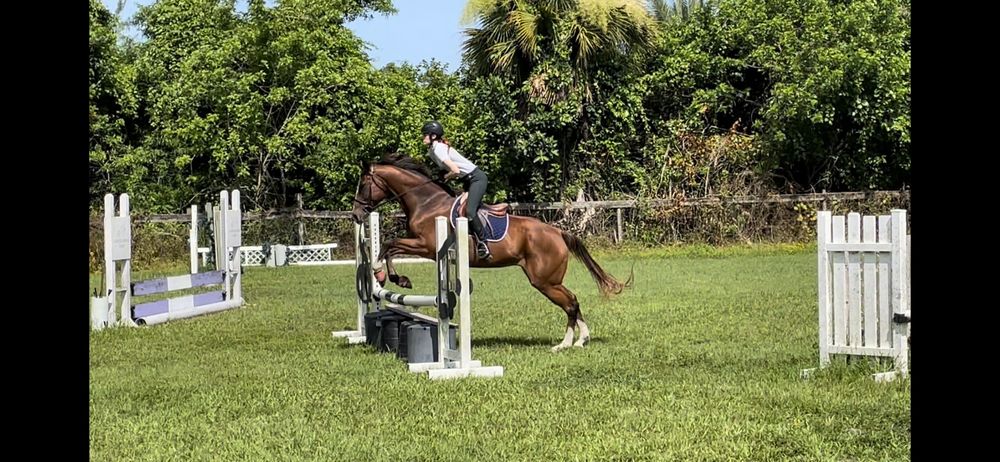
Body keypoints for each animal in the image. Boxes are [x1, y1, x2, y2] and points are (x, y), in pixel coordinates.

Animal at [351, 153, 632, 352]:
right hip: (548, 280)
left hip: (544, 280)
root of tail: (557, 232)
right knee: (573, 301)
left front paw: (389, 276)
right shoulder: (423, 246)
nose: (356, 214)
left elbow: (389, 245)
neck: (425, 202)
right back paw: (580, 340)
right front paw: (393, 278)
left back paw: (565, 343)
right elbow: (390, 246)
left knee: (571, 302)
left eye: (363, 184)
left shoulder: (426, 245)